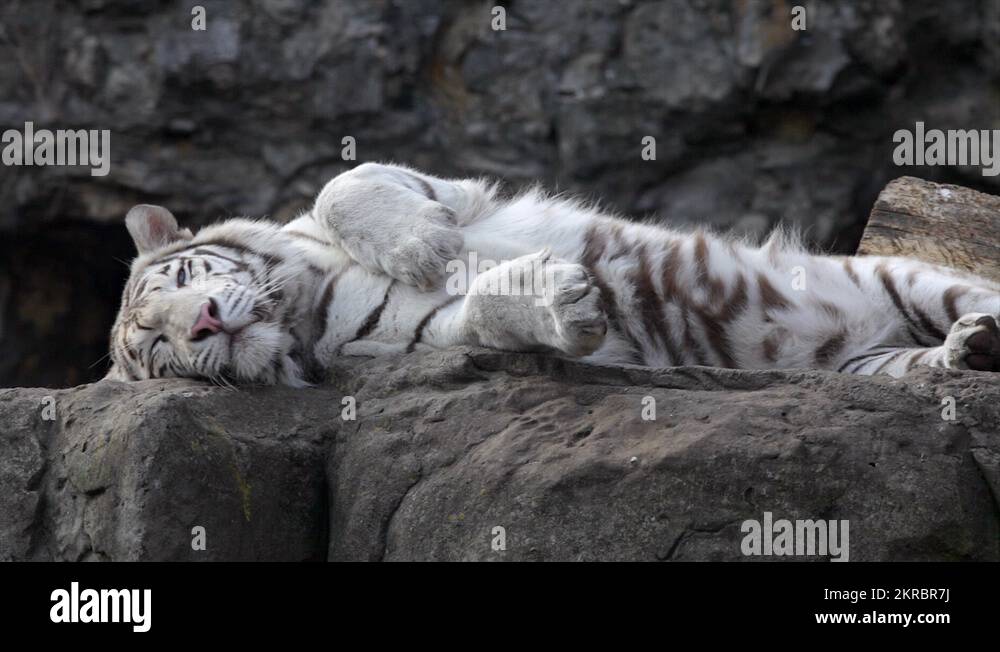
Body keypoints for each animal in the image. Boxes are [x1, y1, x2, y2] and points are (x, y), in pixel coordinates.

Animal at [107, 162, 1000, 386]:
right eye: (158, 353)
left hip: (906, 279)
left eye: (180, 282)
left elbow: (344, 185)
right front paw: (561, 301)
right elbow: (477, 314)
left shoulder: (445, 186)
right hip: (871, 362)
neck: (304, 302)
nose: (202, 324)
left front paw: (424, 247)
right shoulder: (416, 340)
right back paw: (968, 351)